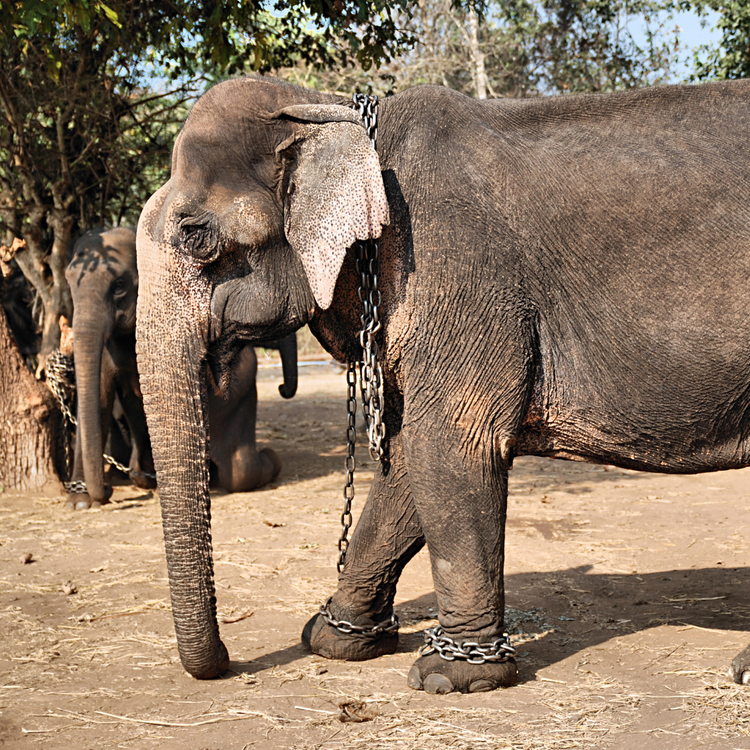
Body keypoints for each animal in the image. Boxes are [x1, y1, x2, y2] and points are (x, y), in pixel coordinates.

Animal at [65, 226, 297, 511]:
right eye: (69, 283)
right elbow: (97, 397)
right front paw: (79, 502)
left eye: (119, 285)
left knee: (240, 471)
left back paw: (265, 459)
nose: (107, 490)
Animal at [135, 76, 750, 693]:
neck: (332, 109)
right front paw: (333, 639)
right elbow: (407, 460)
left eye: (196, 236)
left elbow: (450, 446)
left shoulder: (454, 268)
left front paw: (450, 677)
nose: (227, 661)